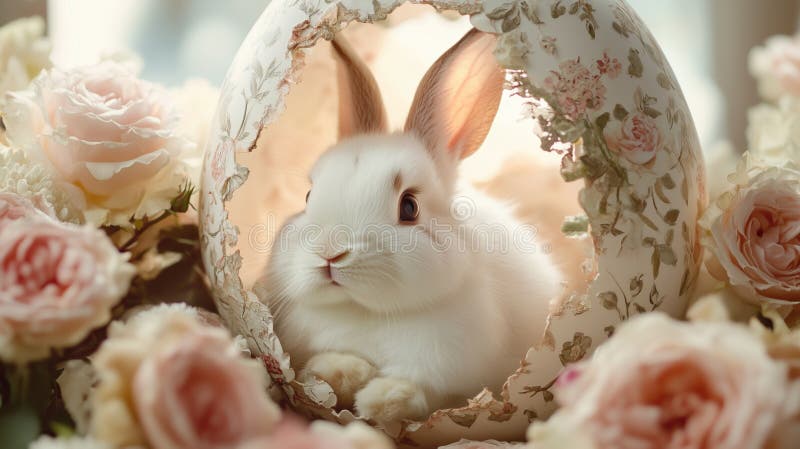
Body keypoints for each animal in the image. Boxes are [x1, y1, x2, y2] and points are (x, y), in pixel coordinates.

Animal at [262, 28, 564, 424]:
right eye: (309, 195)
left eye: (409, 207)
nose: (330, 253)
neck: (366, 313)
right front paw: (339, 371)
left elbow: (426, 394)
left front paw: (383, 399)